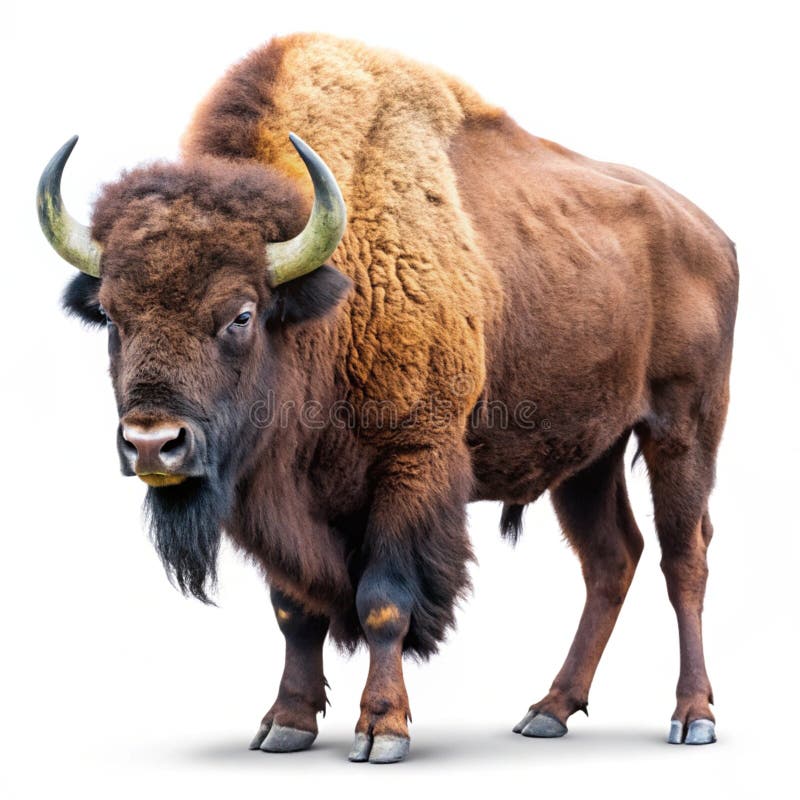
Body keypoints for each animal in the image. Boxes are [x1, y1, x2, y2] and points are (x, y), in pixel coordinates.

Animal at [37, 33, 738, 762]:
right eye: (111, 315)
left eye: (241, 314)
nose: (153, 444)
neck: (327, 303)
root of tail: (710, 233)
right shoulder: (276, 496)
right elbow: (294, 610)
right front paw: (285, 723)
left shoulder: (413, 465)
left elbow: (383, 602)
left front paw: (382, 729)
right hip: (589, 457)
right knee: (611, 559)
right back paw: (549, 709)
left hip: (683, 430)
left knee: (684, 557)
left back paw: (692, 717)